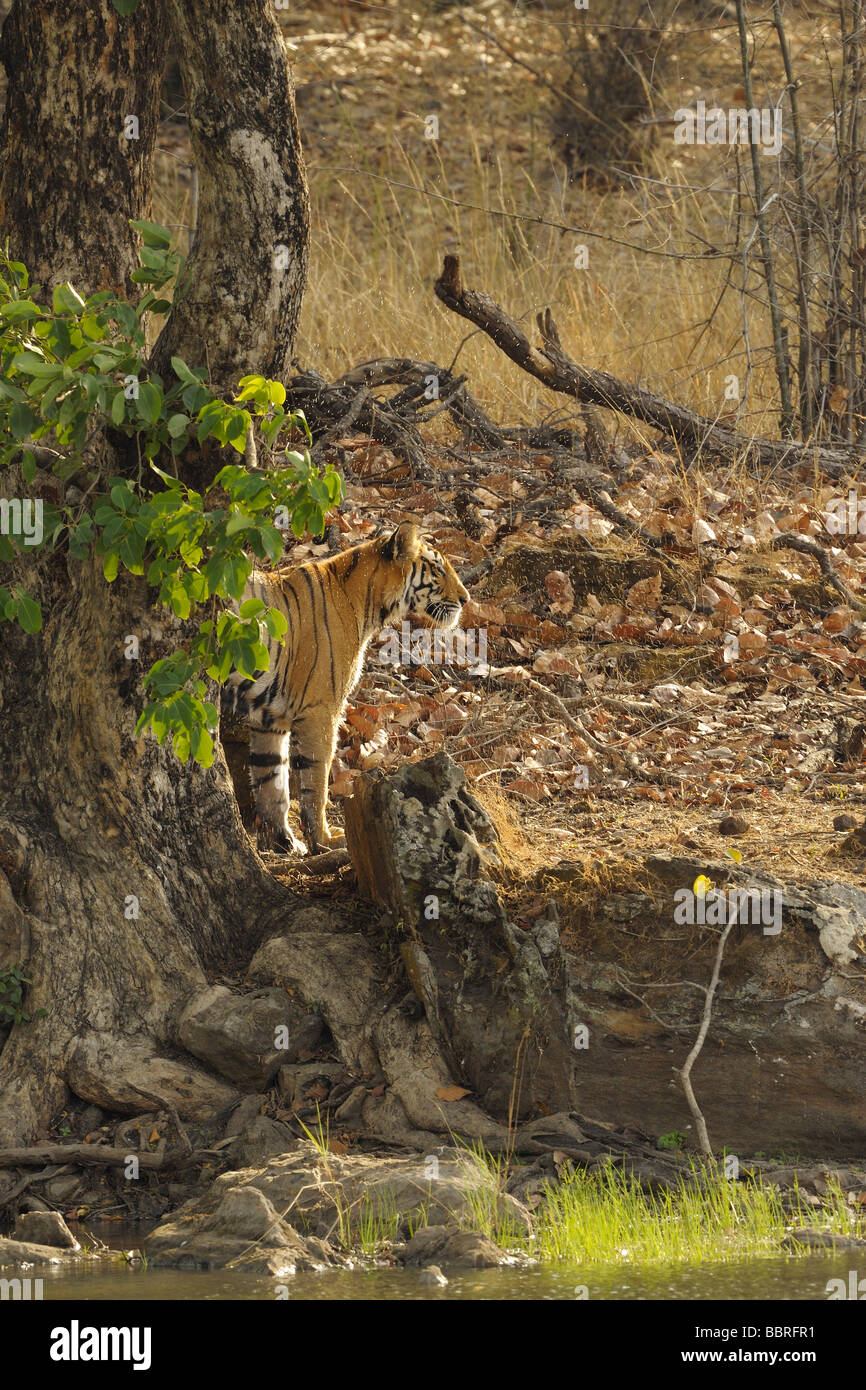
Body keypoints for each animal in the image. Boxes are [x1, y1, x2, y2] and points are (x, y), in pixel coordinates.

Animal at [221, 522, 469, 855]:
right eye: (439, 569)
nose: (466, 599)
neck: (368, 604)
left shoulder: (269, 715)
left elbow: (272, 780)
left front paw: (285, 842)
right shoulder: (321, 710)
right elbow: (316, 780)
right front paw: (325, 841)